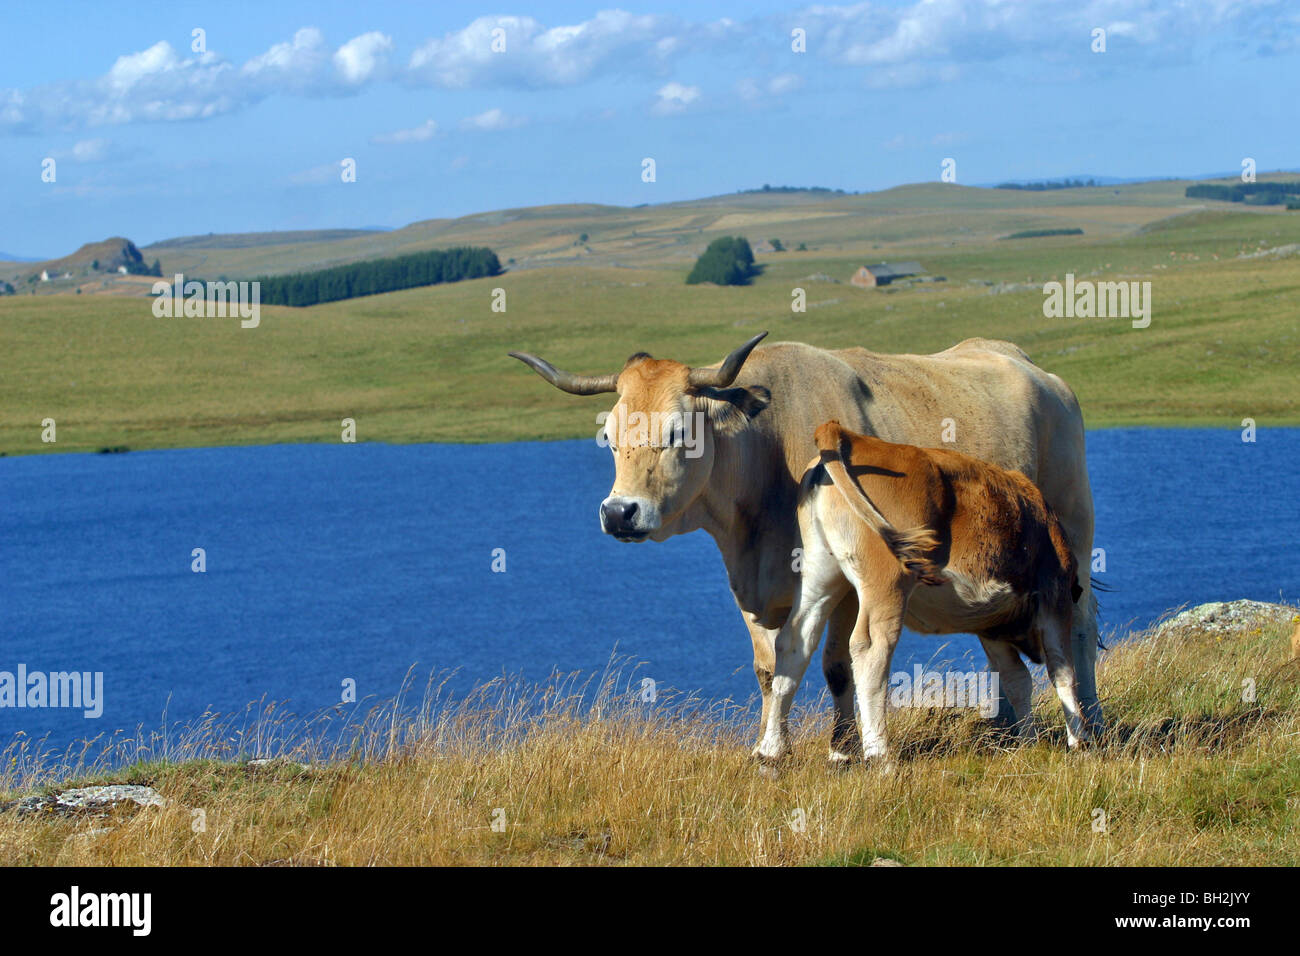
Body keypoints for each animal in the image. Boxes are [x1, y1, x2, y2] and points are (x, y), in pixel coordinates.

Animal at [754, 420, 1093, 766]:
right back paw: (880, 756)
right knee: (870, 649)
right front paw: (1079, 743)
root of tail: (848, 435)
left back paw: (771, 751)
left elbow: (1017, 680)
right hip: (887, 583)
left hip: (820, 575)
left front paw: (1028, 743)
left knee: (794, 643)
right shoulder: (1053, 595)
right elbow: (1062, 671)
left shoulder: (989, 624)